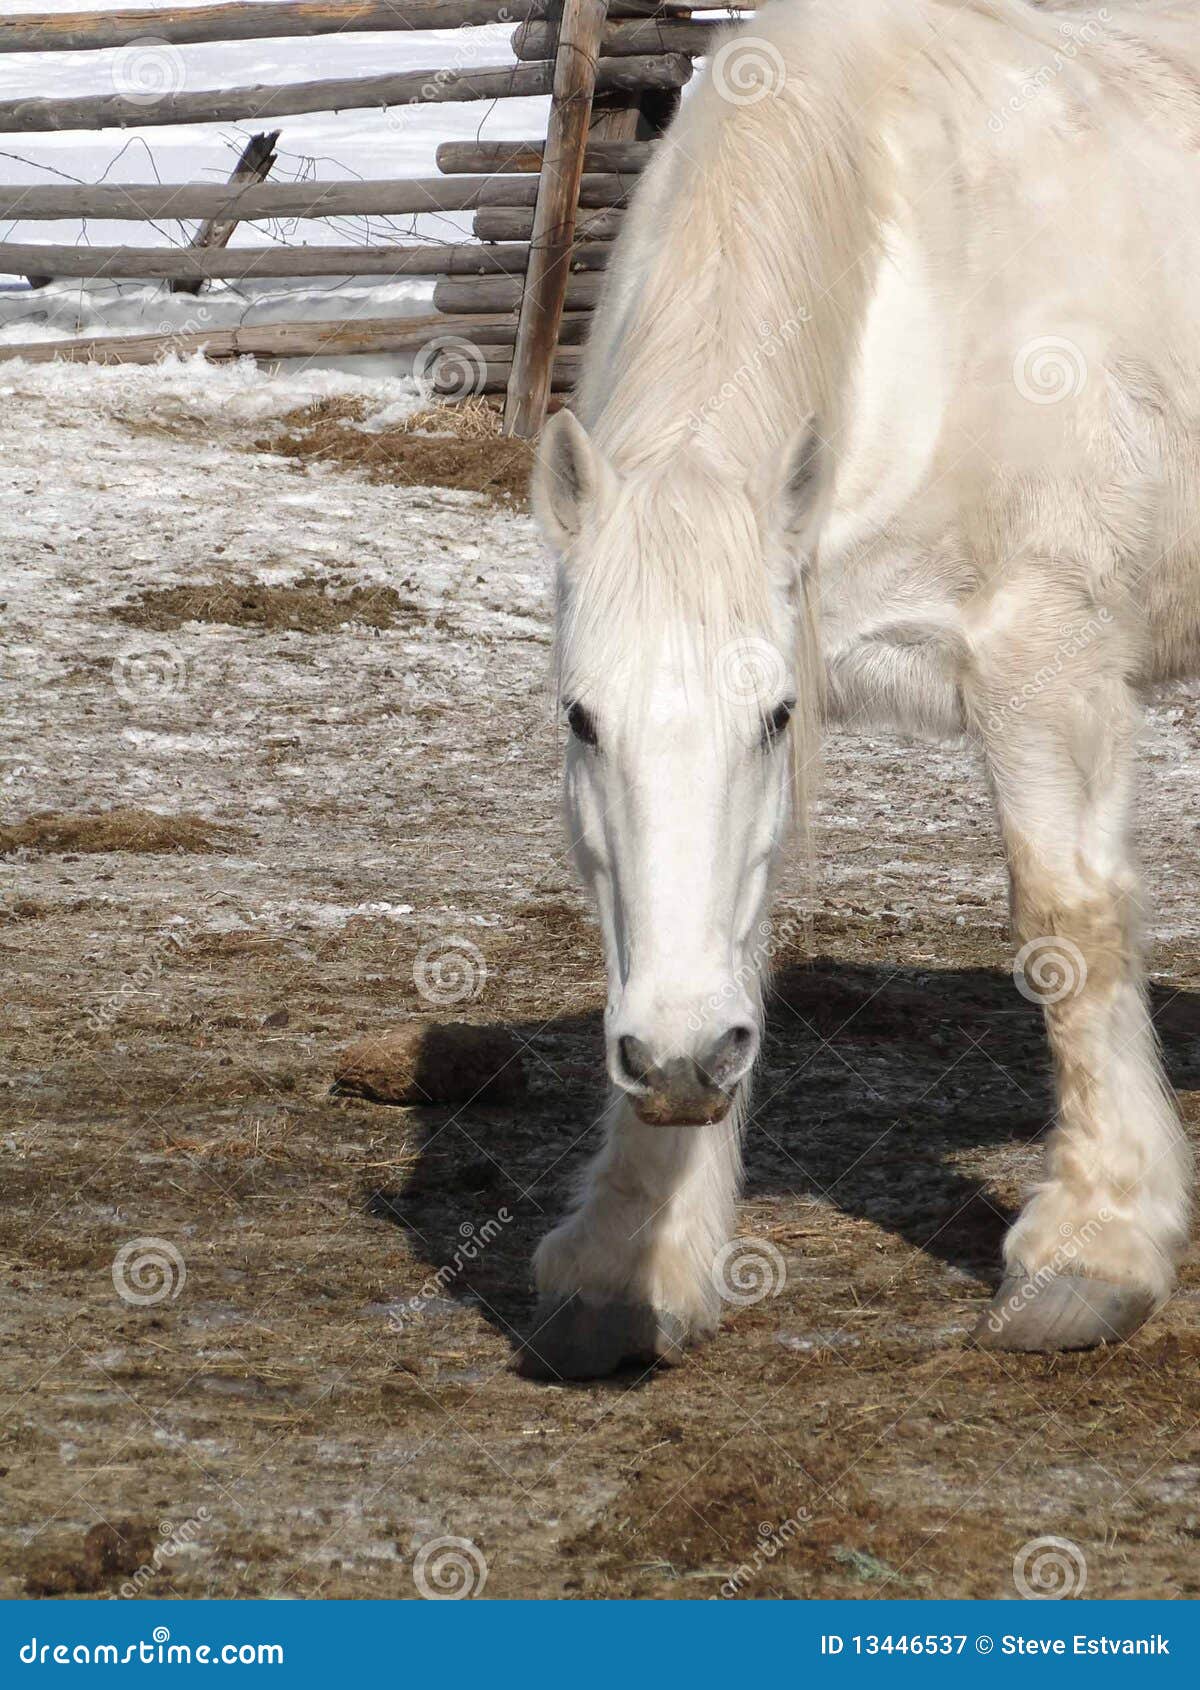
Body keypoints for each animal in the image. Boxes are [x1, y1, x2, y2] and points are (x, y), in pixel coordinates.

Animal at [519, 0, 1200, 1379]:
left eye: (770, 716)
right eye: (582, 718)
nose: (679, 1056)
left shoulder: (1047, 667)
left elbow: (1069, 924)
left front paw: (1094, 1252)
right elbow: (713, 926)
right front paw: (631, 1255)